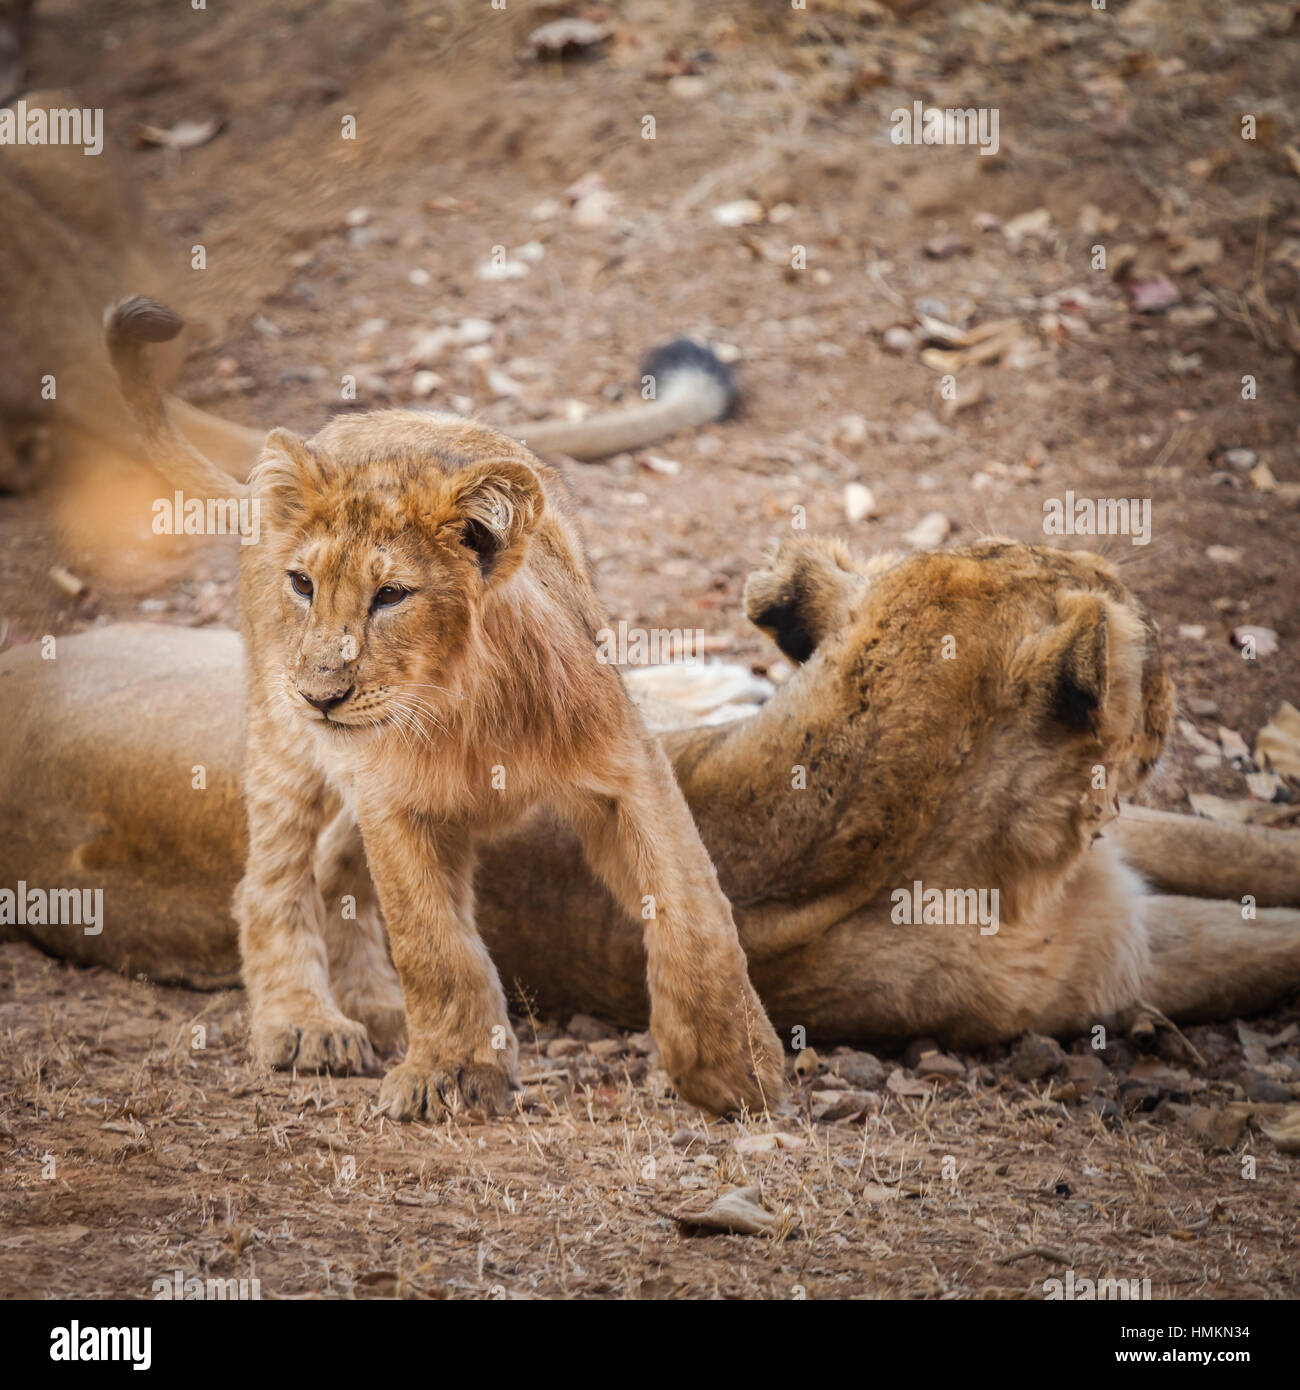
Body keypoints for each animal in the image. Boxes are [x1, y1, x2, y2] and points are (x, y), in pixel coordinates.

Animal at [4, 536, 1298, 1059]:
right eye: (1149, 661)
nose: (1175, 692)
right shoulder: (1116, 958)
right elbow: (1262, 946)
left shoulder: (1129, 861)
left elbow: (1258, 860)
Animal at [95, 295, 783, 1121]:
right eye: (303, 584)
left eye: (391, 594)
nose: (322, 693)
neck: (458, 710)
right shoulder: (392, 801)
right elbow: (433, 945)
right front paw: (452, 1072)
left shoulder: (628, 770)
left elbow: (694, 908)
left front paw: (732, 1064)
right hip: (283, 739)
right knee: (273, 880)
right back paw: (308, 1023)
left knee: (333, 865)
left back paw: (377, 1009)